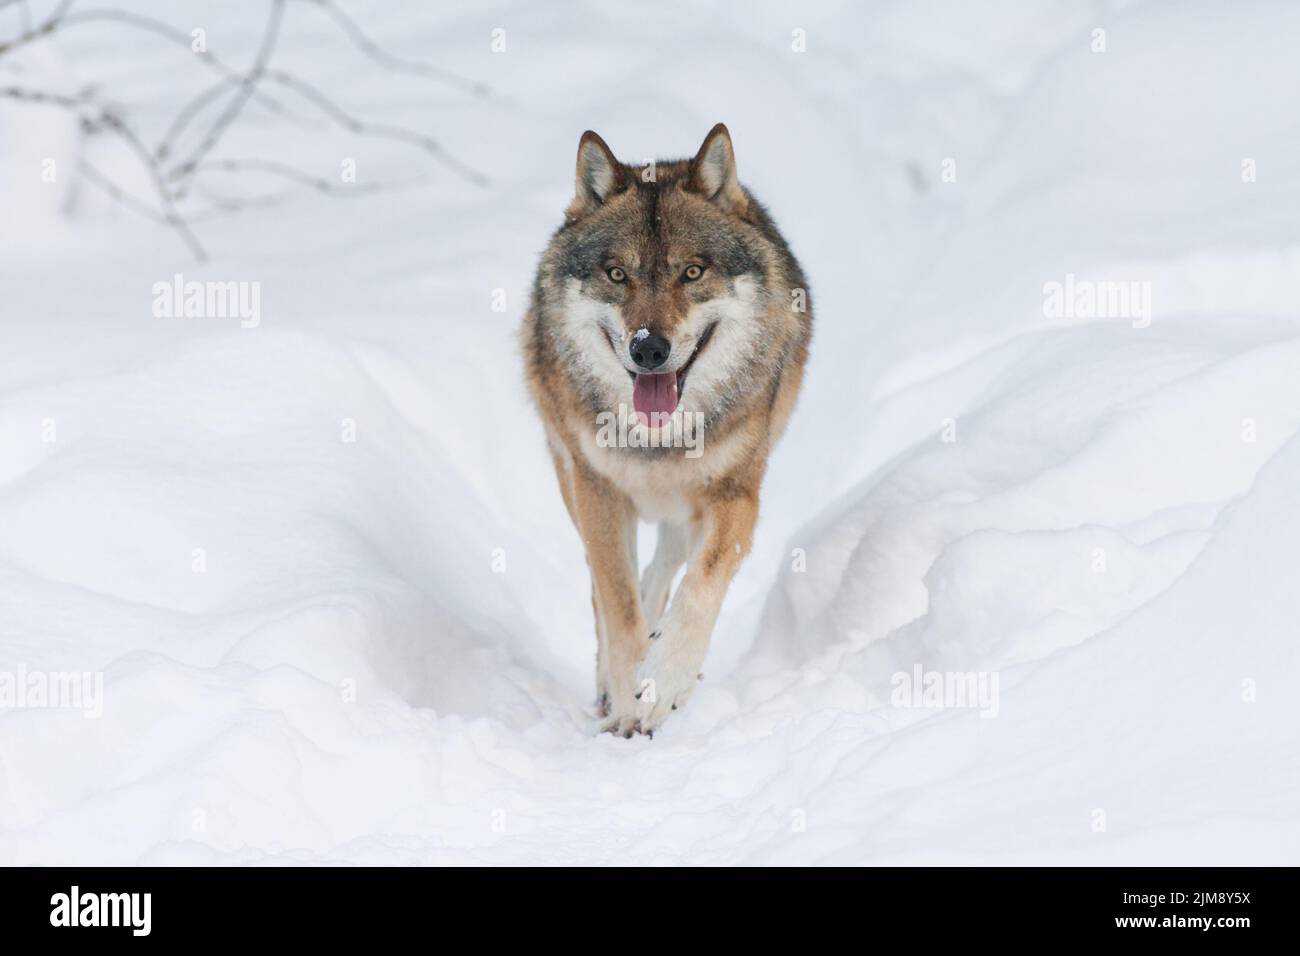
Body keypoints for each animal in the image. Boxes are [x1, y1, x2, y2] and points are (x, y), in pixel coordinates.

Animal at [522, 124, 812, 736]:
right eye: (617, 274)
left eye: (692, 272)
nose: (648, 349)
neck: (661, 439)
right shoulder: (598, 492)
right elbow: (617, 605)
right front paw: (630, 697)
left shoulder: (736, 497)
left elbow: (701, 586)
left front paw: (664, 679)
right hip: (573, 482)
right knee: (608, 588)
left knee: (666, 565)